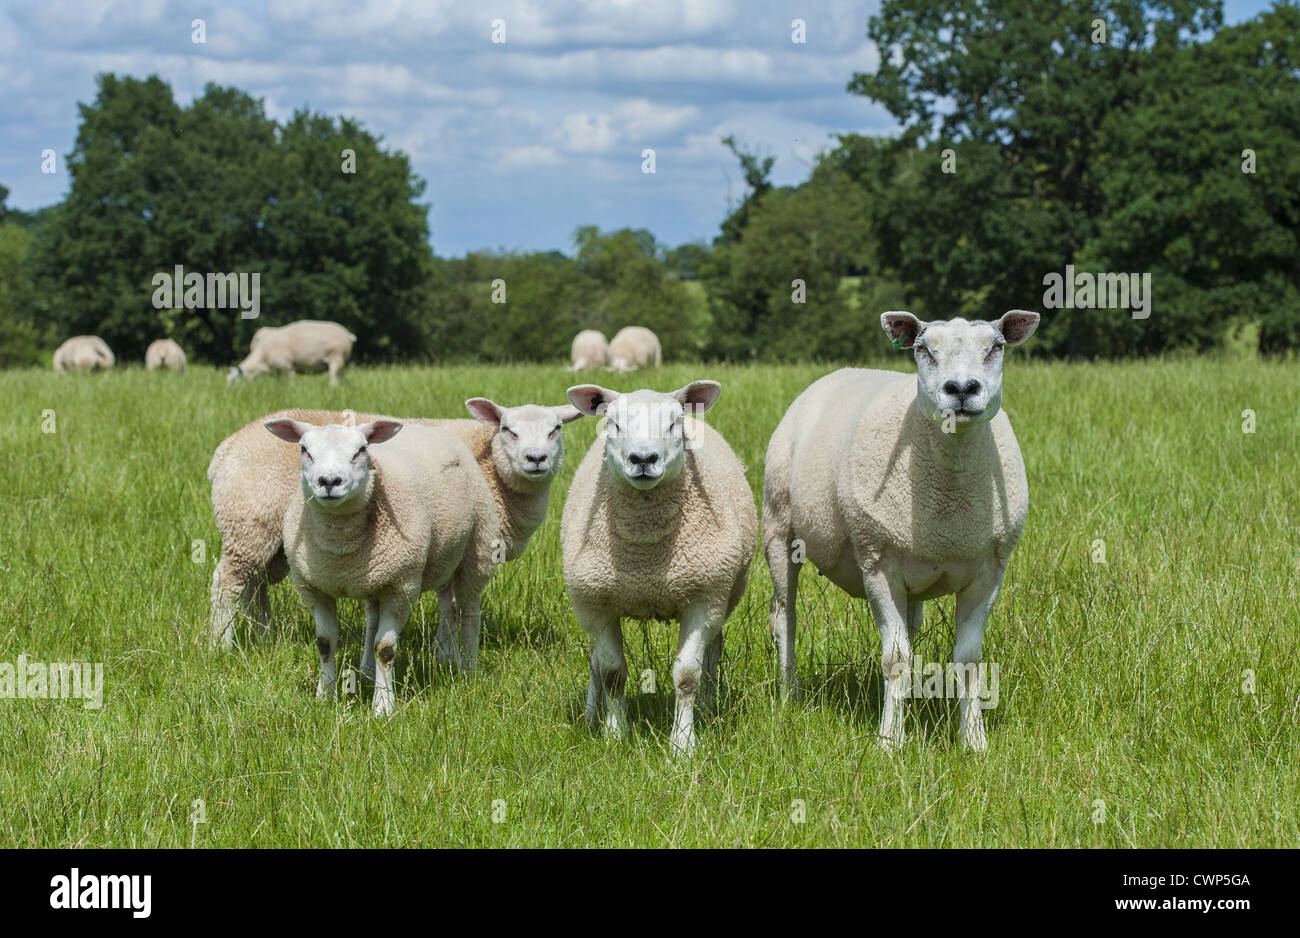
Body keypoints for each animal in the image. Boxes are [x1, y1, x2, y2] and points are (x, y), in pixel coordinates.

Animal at [207, 400, 584, 654]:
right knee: (227, 581)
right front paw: (446, 652)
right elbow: (451, 602)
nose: (536, 459)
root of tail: (225, 449)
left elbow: (446, 600)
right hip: (250, 521)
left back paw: (264, 638)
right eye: (509, 430)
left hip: (262, 534)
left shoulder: (445, 541)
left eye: (556, 429)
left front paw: (442, 650)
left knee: (254, 586)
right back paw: (221, 645)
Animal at [227, 320, 356, 385]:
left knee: (333, 376)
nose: (228, 394)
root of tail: (348, 334)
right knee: (342, 377)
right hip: (341, 362)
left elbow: (291, 381)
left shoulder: (287, 366)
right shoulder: (277, 371)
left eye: (234, 381)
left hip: (336, 356)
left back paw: (332, 387)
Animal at [265, 417, 499, 715]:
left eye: (361, 450)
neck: (341, 551)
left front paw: (383, 707)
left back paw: (468, 666)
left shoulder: (402, 586)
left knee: (469, 609)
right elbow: (325, 643)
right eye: (304, 449)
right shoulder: (314, 587)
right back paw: (374, 669)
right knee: (393, 615)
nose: (329, 481)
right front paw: (324, 696)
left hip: (478, 547)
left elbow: (385, 648)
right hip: (398, 571)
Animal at [561, 380, 757, 756]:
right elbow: (611, 673)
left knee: (713, 650)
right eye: (613, 424)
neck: (646, 560)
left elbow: (688, 675)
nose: (643, 459)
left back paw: (707, 708)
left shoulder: (703, 598)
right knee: (594, 661)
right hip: (587, 600)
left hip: (722, 595)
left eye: (674, 423)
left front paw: (683, 744)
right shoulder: (598, 603)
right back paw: (591, 715)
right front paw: (614, 735)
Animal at [761, 310, 1040, 751]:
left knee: (908, 629)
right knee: (784, 618)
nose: (962, 389)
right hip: (779, 528)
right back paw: (790, 694)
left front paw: (973, 741)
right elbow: (896, 659)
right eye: (924, 350)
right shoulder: (879, 561)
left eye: (995, 347)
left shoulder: (989, 571)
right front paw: (890, 741)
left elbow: (968, 660)